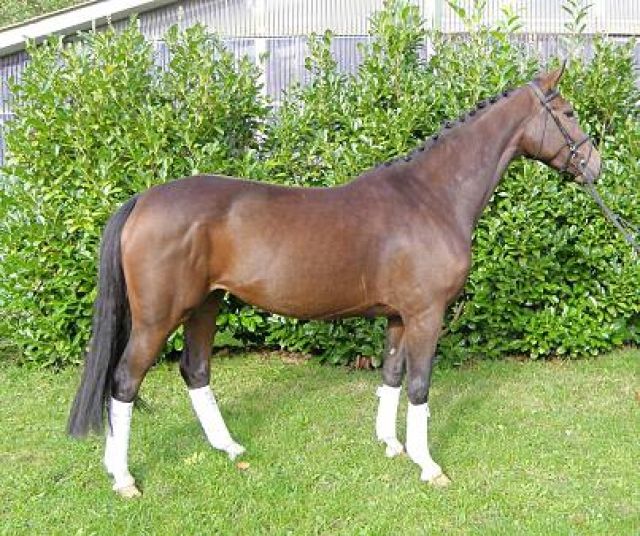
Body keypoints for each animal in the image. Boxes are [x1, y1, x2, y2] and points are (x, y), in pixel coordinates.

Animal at [68, 65, 601, 497]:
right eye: (568, 112)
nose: (595, 165)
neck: (431, 198)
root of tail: (142, 200)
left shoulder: (399, 317)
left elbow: (391, 375)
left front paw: (392, 446)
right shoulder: (427, 315)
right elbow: (420, 386)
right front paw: (429, 466)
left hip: (206, 305)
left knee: (195, 370)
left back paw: (231, 449)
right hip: (159, 317)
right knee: (124, 381)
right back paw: (124, 479)